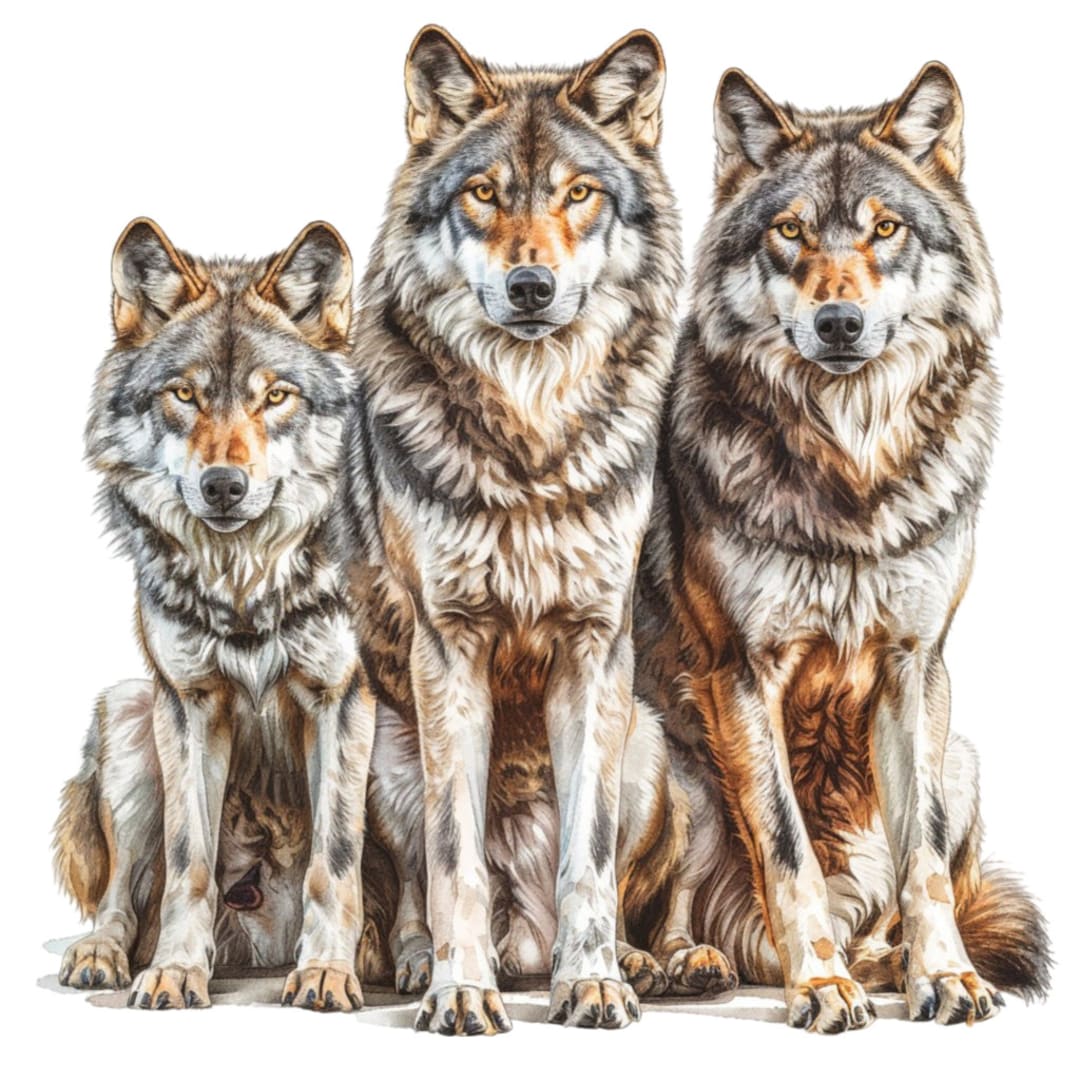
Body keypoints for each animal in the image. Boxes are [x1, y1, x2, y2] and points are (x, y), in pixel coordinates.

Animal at [52, 218, 377, 1012]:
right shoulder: (191, 706)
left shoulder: (342, 699)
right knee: (121, 894)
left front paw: (327, 971)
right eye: (184, 395)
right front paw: (174, 970)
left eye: (276, 396)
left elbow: (335, 859)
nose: (223, 486)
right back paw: (104, 955)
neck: (246, 585)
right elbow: (185, 861)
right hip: (131, 712)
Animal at [336, 25, 730, 1035]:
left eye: (577, 194)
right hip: (386, 750)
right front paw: (458, 990)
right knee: (414, 881)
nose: (529, 286)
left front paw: (591, 982)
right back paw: (419, 963)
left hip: (647, 747)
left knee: (657, 890)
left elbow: (590, 859)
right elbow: (453, 860)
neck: (531, 440)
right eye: (483, 193)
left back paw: (662, 962)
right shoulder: (450, 650)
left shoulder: (594, 652)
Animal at [634, 63, 1051, 1033]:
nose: (838, 324)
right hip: (672, 761)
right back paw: (683, 963)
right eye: (789, 232)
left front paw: (946, 975)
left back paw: (886, 960)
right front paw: (819, 985)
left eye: (884, 228)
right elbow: (787, 846)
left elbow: (924, 858)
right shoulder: (741, 673)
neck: (849, 470)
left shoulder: (914, 665)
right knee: (672, 906)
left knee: (899, 892)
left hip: (963, 756)